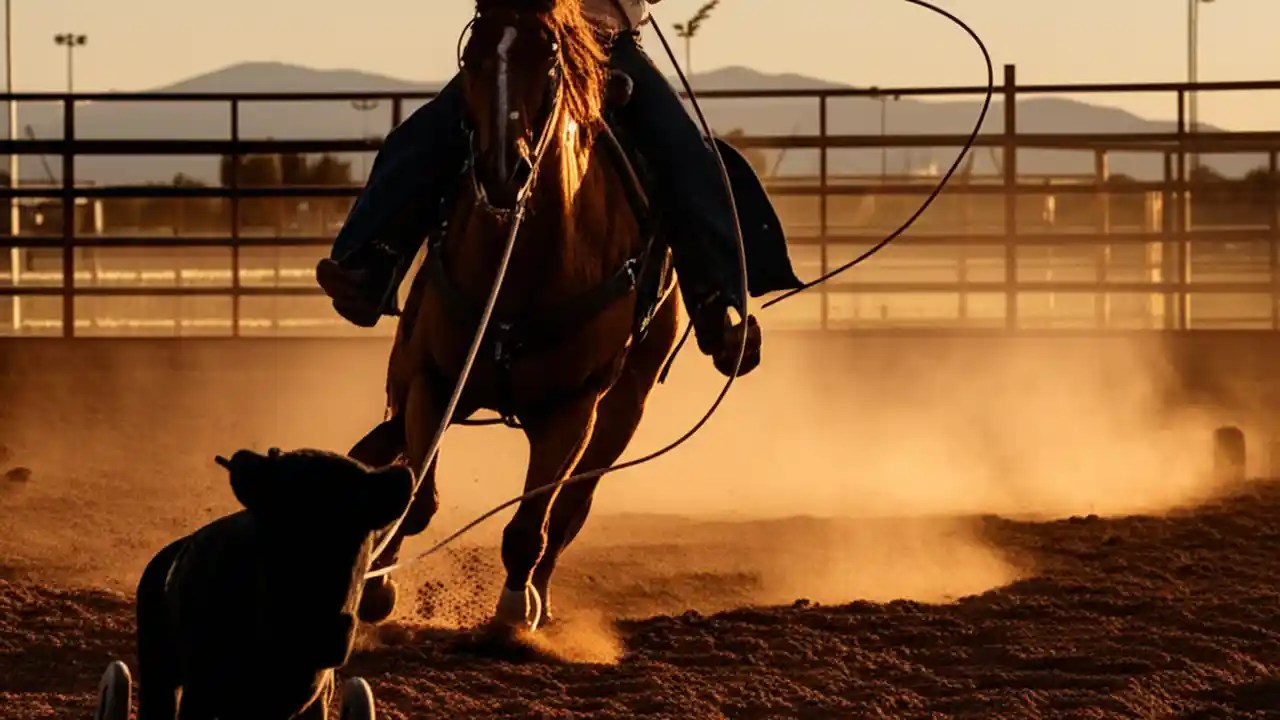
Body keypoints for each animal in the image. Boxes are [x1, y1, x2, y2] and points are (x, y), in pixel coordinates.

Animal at [345, 0, 681, 635]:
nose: (503, 172)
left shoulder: (574, 406)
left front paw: (513, 611)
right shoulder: (432, 379)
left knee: (571, 506)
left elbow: (531, 524)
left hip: (626, 405)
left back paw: (540, 597)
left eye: (546, 60)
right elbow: (416, 496)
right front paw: (376, 587)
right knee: (389, 449)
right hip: (408, 374)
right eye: (472, 59)